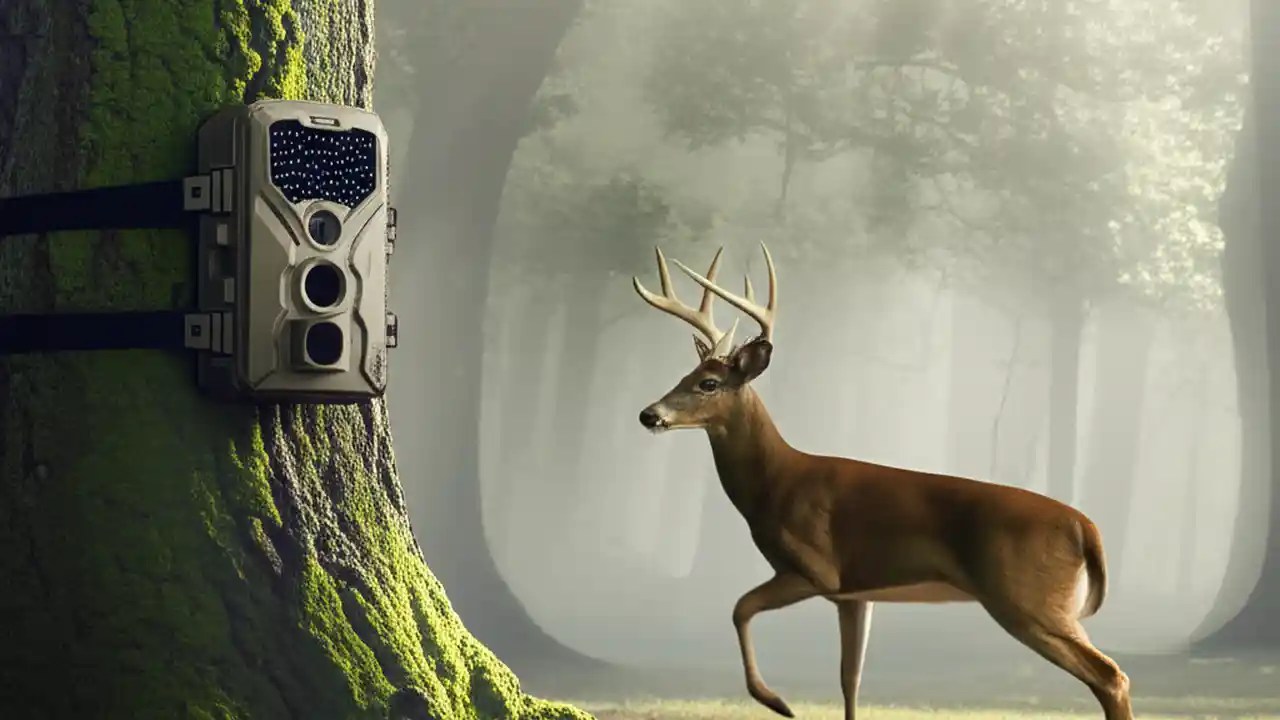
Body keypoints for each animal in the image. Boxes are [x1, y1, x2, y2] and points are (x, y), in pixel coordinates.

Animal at [631, 244, 1133, 720]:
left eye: (709, 383)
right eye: (685, 374)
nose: (648, 415)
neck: (776, 483)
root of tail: (1087, 527)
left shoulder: (815, 568)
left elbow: (739, 608)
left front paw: (776, 702)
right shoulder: (854, 594)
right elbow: (850, 679)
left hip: (1029, 599)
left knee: (1110, 675)